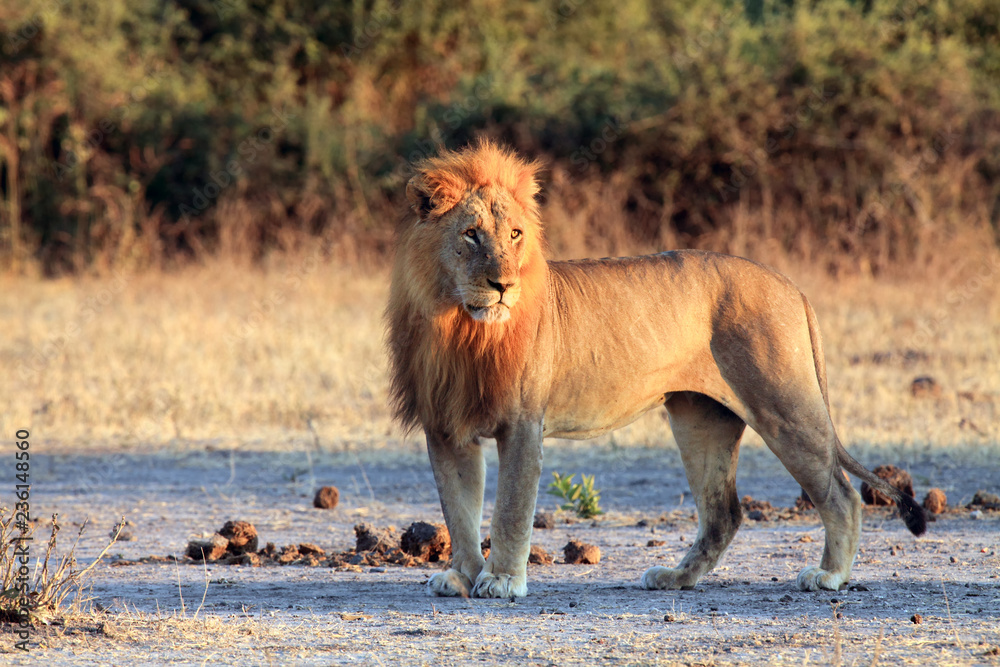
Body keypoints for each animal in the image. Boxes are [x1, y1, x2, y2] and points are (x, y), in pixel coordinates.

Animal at [387, 140, 926, 599]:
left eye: (515, 235)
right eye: (471, 234)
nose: (503, 285)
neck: (459, 326)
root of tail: (791, 285)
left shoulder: (522, 423)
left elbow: (511, 510)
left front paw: (500, 580)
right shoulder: (445, 426)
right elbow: (458, 509)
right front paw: (462, 576)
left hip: (784, 405)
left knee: (842, 494)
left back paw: (829, 574)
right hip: (700, 420)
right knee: (724, 513)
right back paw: (676, 578)